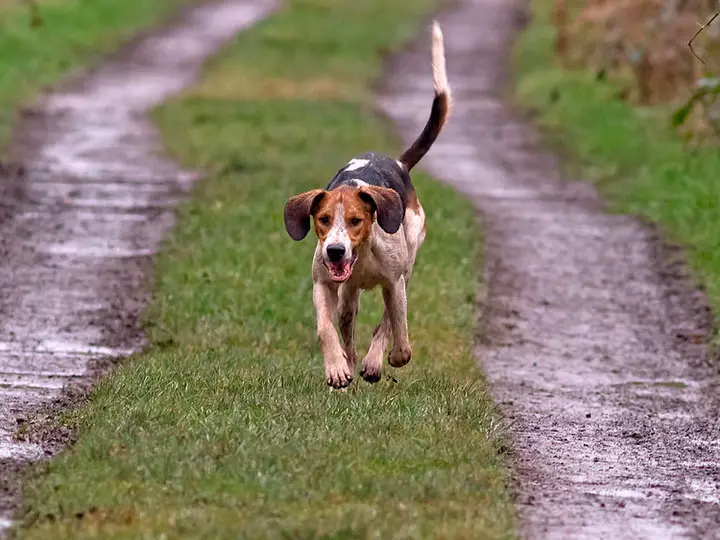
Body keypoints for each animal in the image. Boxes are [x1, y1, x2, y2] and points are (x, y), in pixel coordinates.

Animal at [282, 21, 450, 388]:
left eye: (356, 220)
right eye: (323, 219)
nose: (335, 251)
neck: (361, 257)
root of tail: (399, 164)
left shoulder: (395, 282)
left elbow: (395, 325)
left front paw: (390, 357)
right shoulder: (323, 284)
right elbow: (325, 329)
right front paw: (336, 368)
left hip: (409, 260)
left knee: (388, 317)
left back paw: (373, 360)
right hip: (348, 294)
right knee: (347, 323)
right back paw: (349, 360)